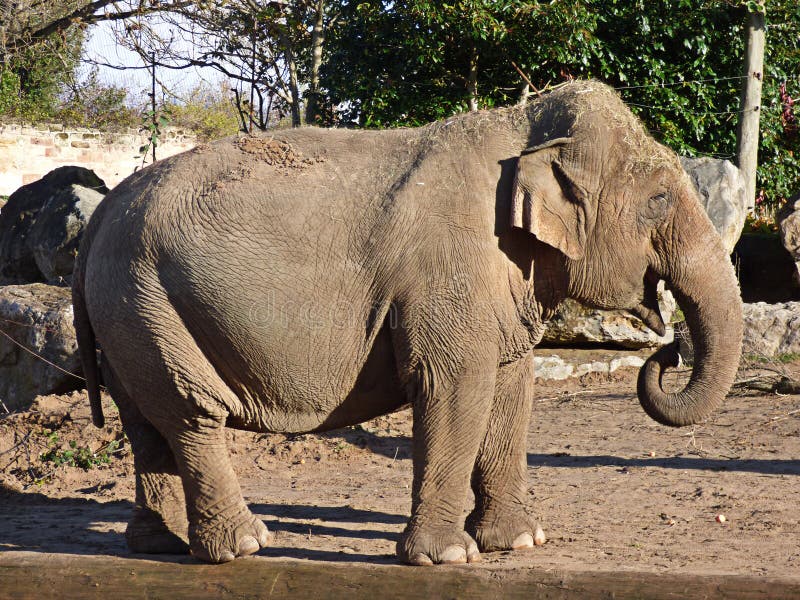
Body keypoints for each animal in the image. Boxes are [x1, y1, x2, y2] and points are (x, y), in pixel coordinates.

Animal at [72, 80, 743, 566]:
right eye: (659, 200)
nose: (666, 353)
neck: (519, 122)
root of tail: (100, 213)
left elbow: (511, 387)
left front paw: (521, 542)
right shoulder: (450, 269)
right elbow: (456, 385)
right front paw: (447, 558)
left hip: (130, 311)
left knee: (146, 418)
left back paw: (160, 545)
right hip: (145, 299)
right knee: (191, 413)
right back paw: (243, 547)